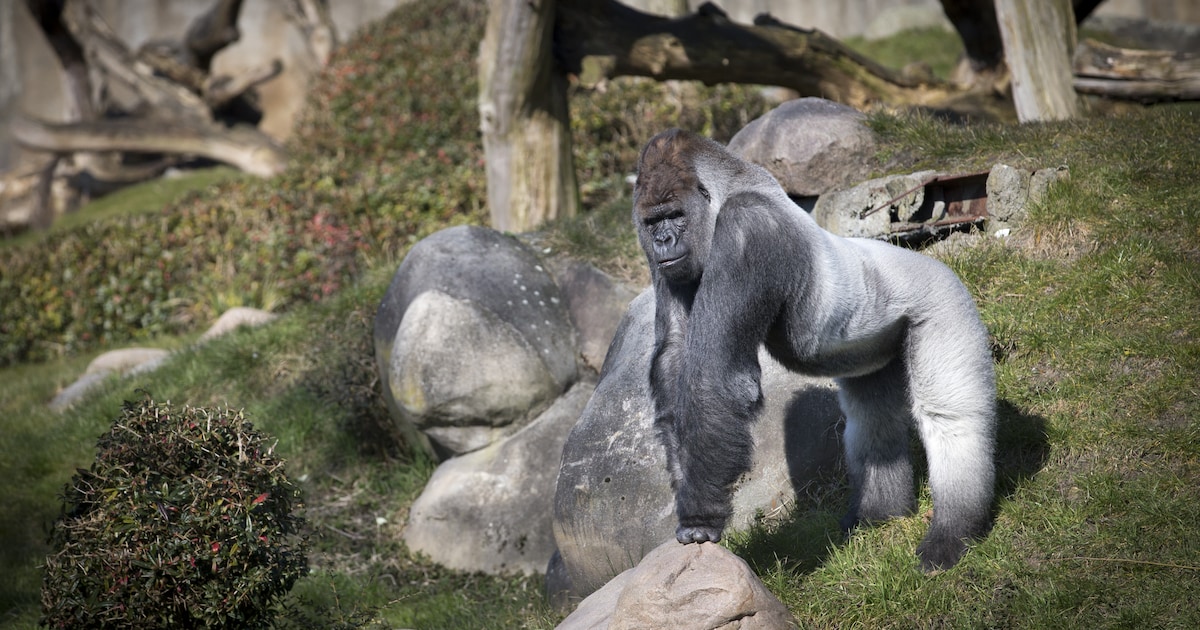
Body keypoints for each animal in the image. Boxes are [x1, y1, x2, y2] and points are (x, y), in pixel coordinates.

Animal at [634, 128, 996, 571]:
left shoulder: (748, 228)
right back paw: (879, 514)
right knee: (871, 416)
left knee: (950, 417)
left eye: (675, 216)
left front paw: (699, 516)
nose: (663, 240)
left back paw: (952, 533)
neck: (728, 189)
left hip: (945, 303)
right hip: (875, 348)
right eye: (652, 222)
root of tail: (940, 264)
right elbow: (674, 356)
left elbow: (715, 378)